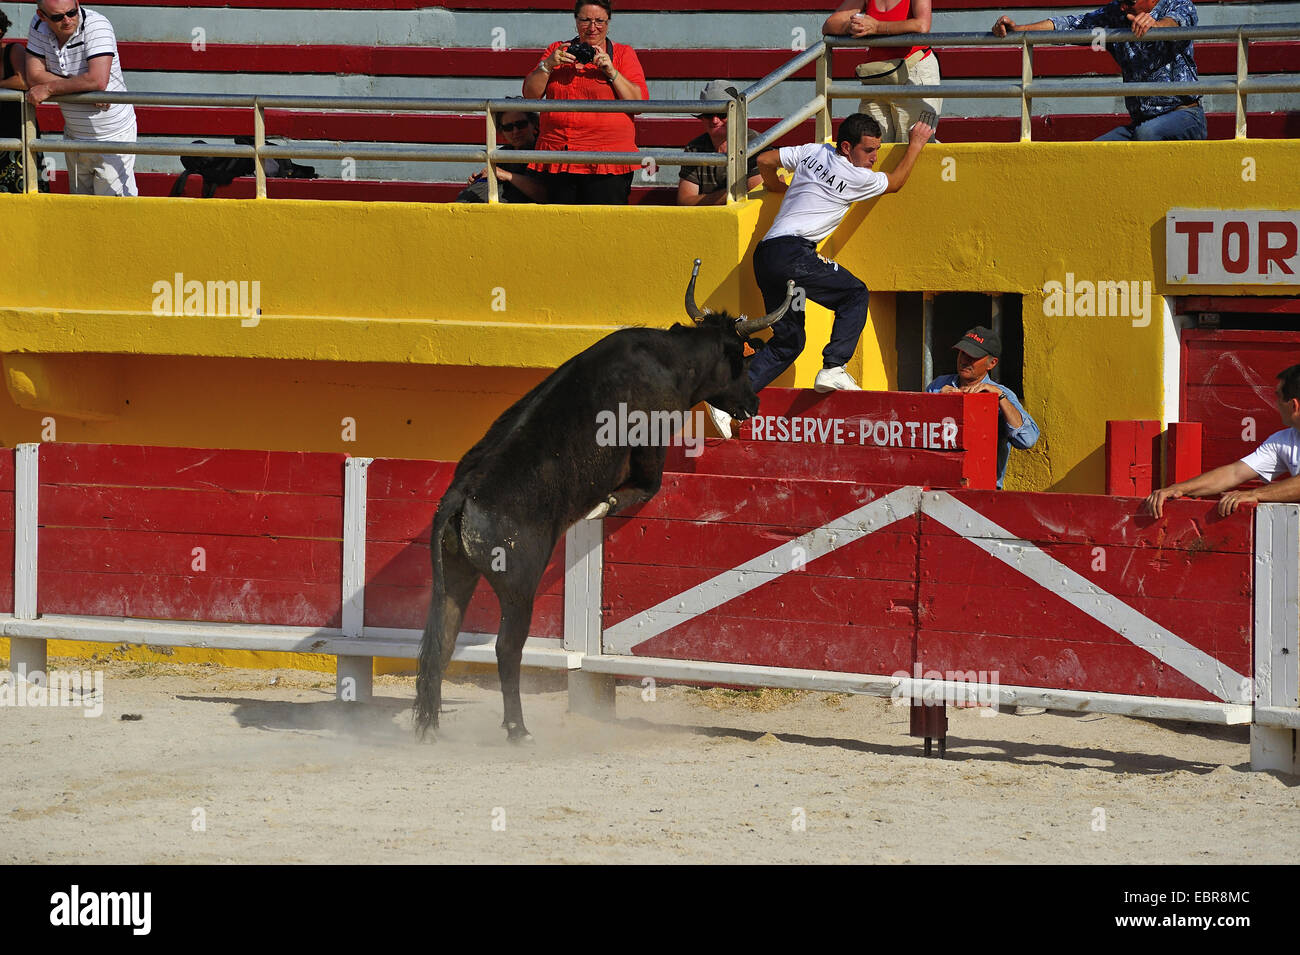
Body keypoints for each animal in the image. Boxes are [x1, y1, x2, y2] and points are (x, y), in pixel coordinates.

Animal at [414, 261, 794, 742]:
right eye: (739, 359)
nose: (753, 402)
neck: (673, 359)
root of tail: (462, 495)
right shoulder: (652, 440)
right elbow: (648, 486)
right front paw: (606, 503)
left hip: (456, 575)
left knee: (440, 642)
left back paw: (430, 729)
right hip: (519, 584)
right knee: (506, 648)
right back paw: (518, 729)